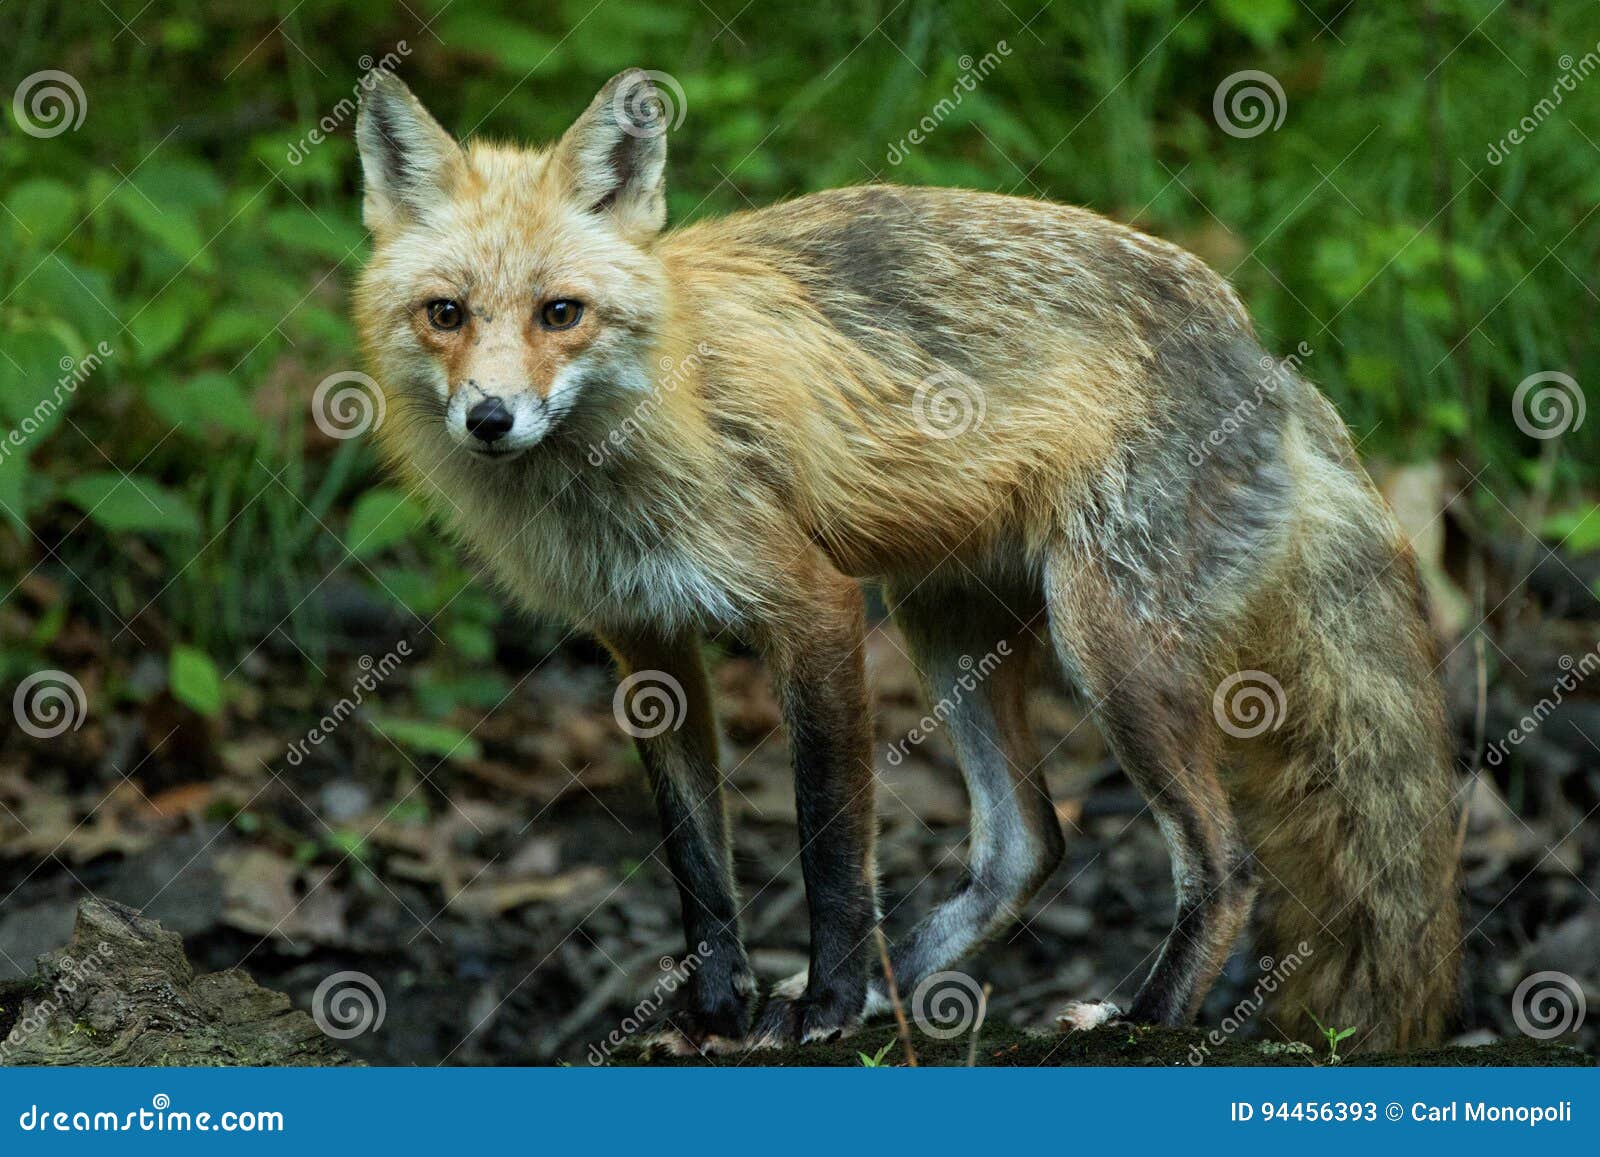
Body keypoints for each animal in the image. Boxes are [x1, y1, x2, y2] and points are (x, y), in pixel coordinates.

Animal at [352, 68, 1461, 1054]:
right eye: (446, 313)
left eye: (561, 312)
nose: (490, 419)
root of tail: (1262, 352)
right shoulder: (645, 643)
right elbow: (695, 862)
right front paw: (716, 1011)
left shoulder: (813, 606)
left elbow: (831, 844)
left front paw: (829, 1002)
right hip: (947, 628)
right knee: (1028, 842)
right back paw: (918, 978)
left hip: (1108, 645)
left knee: (1222, 861)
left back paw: (1144, 1019)